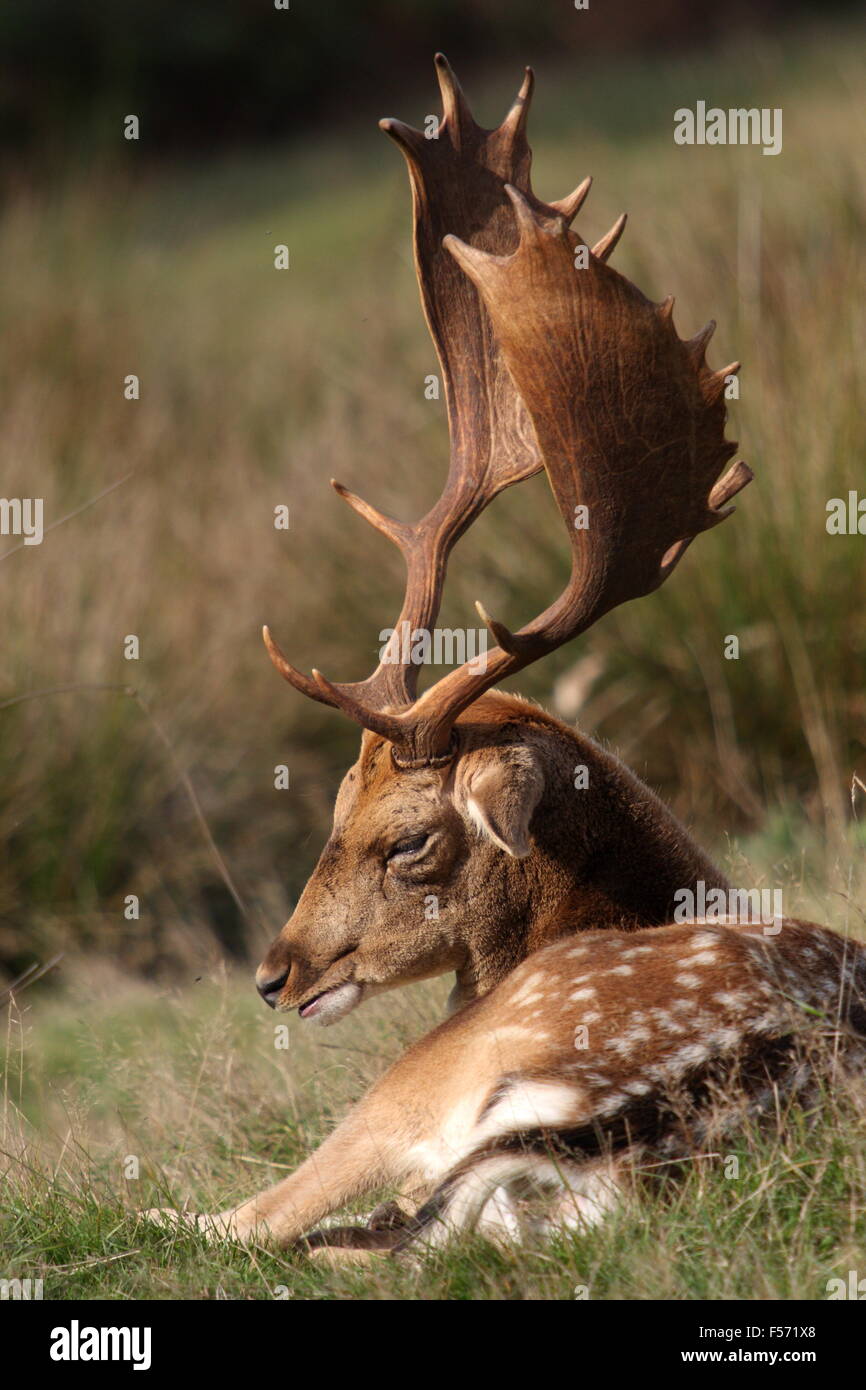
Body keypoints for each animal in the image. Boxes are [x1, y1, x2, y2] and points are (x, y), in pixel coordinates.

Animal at [144, 56, 866, 1259]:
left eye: (409, 842)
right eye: (332, 806)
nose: (274, 975)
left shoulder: (410, 1080)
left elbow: (220, 1216)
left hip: (439, 1081)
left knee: (265, 1227)